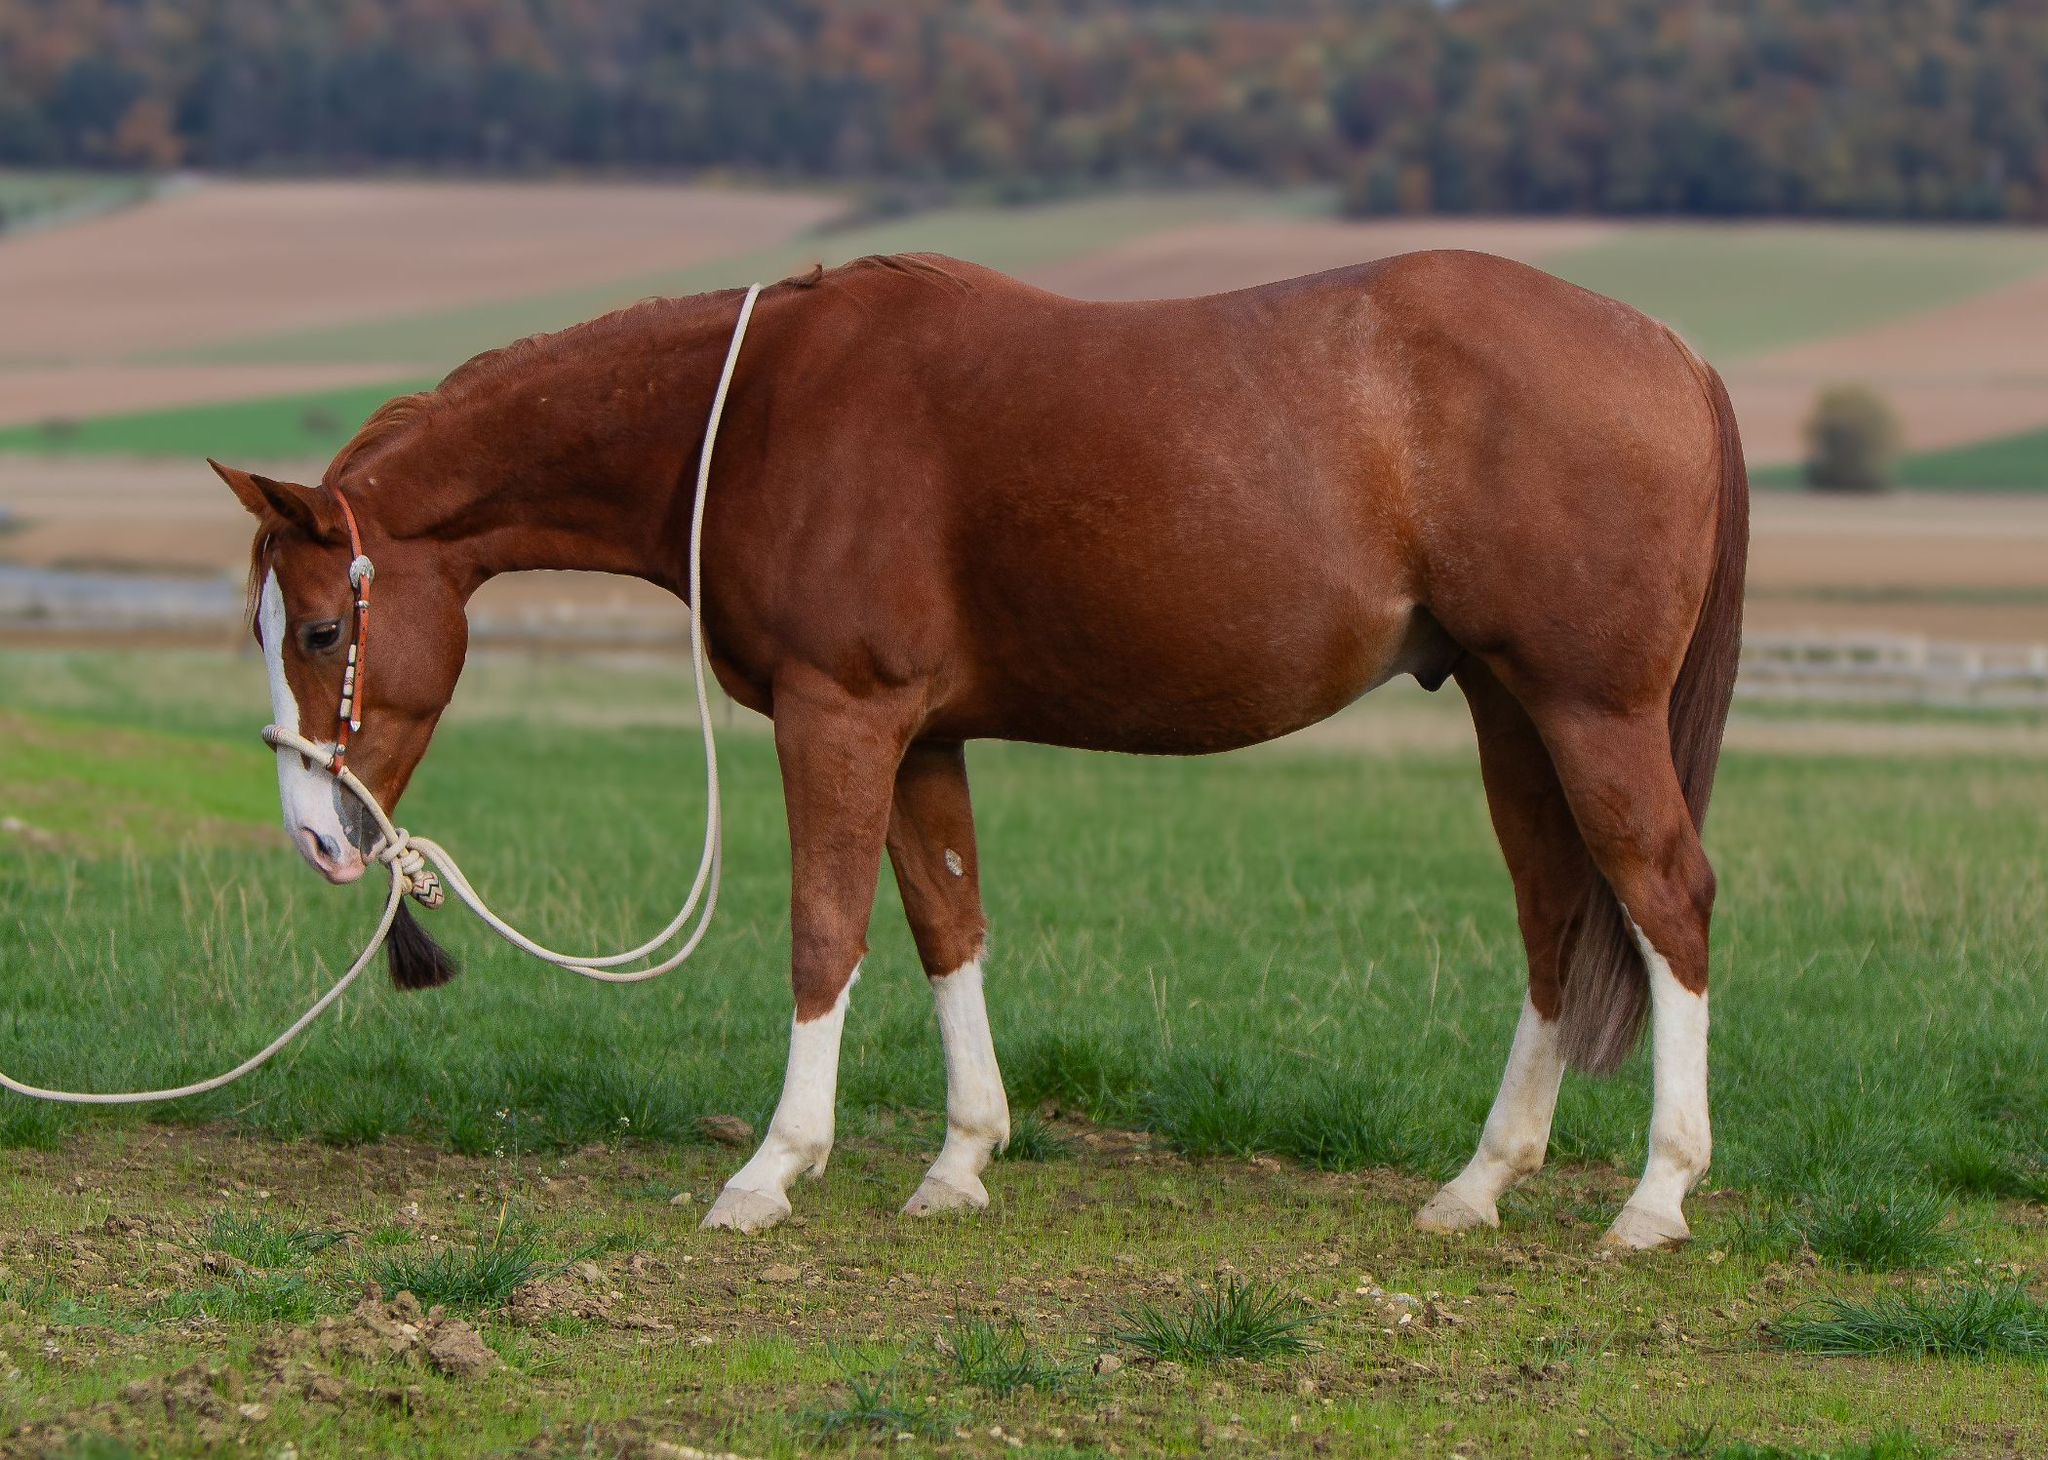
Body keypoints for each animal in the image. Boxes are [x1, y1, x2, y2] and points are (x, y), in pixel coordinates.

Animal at [215, 247, 1746, 1248]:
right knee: (1555, 917)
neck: (757, 410)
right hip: (1507, 707)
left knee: (1667, 899)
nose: (315, 834)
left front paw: (772, 1169)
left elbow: (824, 931)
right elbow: (946, 924)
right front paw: (959, 1161)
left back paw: (1654, 1195)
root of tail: (1671, 351)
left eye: (316, 629)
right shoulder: (920, 734)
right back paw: (1477, 1186)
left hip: (1587, 712)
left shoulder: (839, 715)